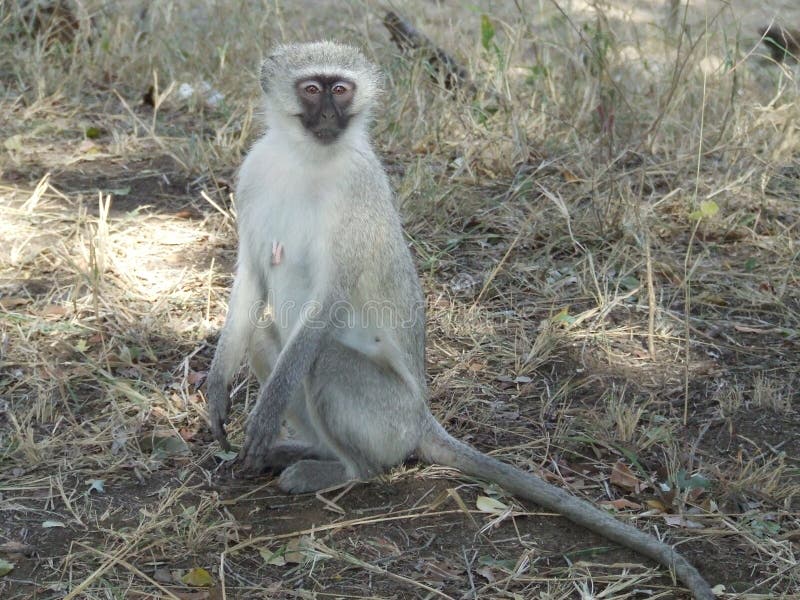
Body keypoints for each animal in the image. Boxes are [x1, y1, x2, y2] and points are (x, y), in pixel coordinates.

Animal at [205, 41, 714, 600]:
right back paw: (306, 449)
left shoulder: (358, 192)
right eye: (313, 89)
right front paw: (216, 393)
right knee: (263, 334)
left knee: (326, 370)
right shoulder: (253, 174)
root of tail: (421, 419)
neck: (305, 158)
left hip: (391, 418)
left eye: (341, 88)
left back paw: (345, 470)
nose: (331, 117)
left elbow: (328, 302)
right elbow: (252, 279)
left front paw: (263, 415)